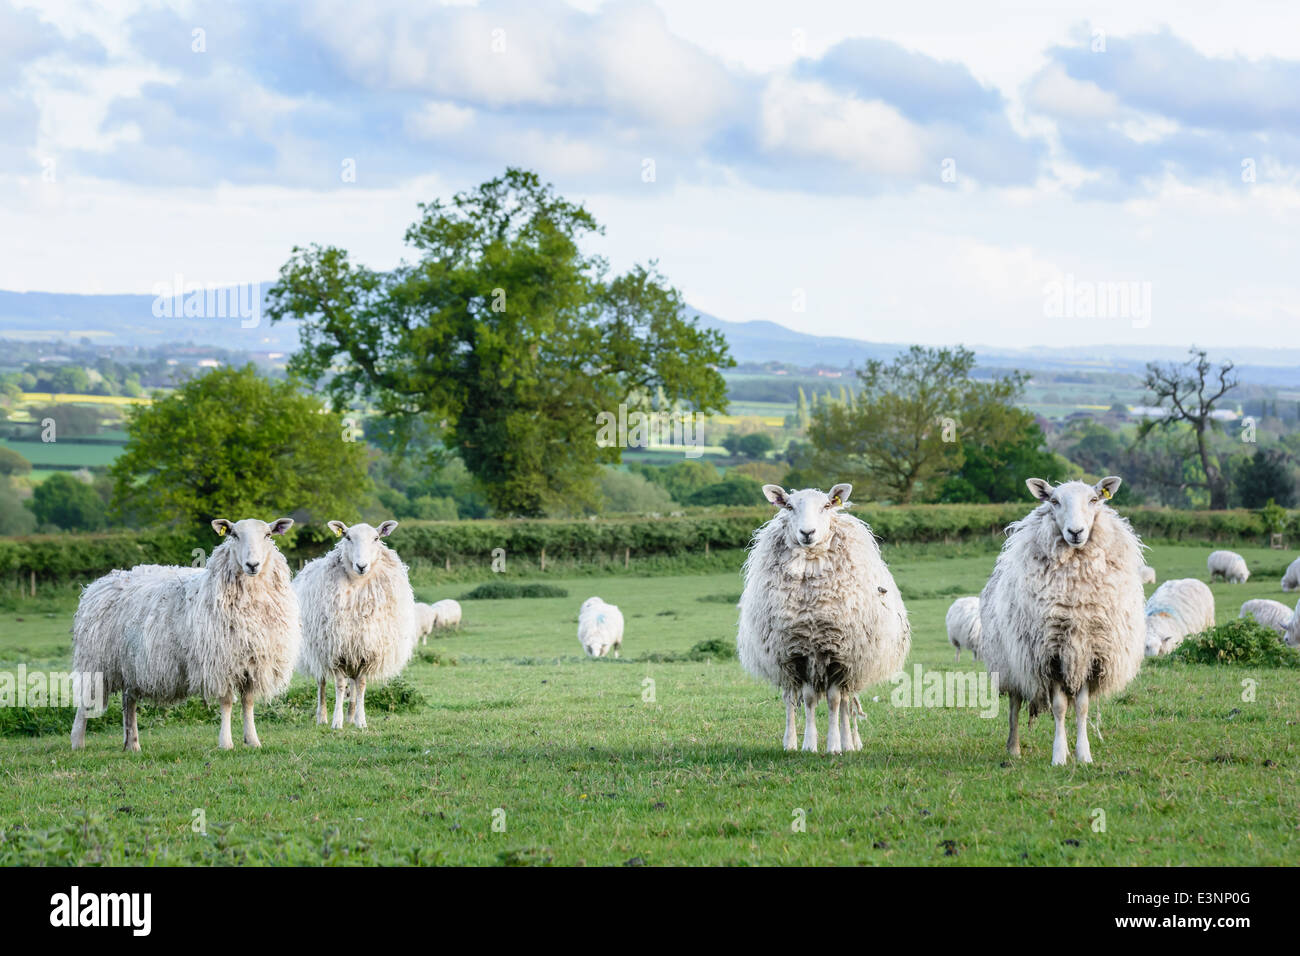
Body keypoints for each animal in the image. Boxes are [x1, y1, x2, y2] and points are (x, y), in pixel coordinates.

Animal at [70, 517, 299, 752]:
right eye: (234, 535)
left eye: (268, 535)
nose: (252, 565)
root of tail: (100, 582)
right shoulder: (219, 662)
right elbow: (226, 702)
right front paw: (226, 743)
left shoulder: (253, 663)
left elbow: (249, 702)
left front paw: (252, 740)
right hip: (96, 662)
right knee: (86, 701)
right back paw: (77, 742)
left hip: (130, 664)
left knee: (129, 700)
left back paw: (132, 745)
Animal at [295, 520, 417, 730]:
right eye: (347, 537)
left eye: (376, 538)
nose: (361, 566)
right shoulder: (335, 651)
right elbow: (339, 685)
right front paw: (337, 722)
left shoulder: (366, 650)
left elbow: (360, 685)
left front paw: (361, 721)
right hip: (318, 650)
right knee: (322, 684)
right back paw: (322, 717)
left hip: (353, 650)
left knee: (352, 684)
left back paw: (351, 716)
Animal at [737, 483, 910, 754]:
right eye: (789, 506)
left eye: (827, 505)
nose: (807, 532)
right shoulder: (800, 655)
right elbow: (808, 700)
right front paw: (809, 744)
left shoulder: (839, 657)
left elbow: (835, 701)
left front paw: (834, 745)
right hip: (785, 665)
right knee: (790, 700)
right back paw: (790, 742)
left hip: (853, 666)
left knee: (846, 704)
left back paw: (849, 742)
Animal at [979, 477, 1145, 766]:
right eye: (1054, 501)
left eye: (1094, 499)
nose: (1075, 532)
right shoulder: (1050, 655)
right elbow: (1058, 707)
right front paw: (1058, 756)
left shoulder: (1090, 655)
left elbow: (1081, 708)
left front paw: (1083, 754)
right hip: (1012, 662)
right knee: (1014, 704)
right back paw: (1013, 748)